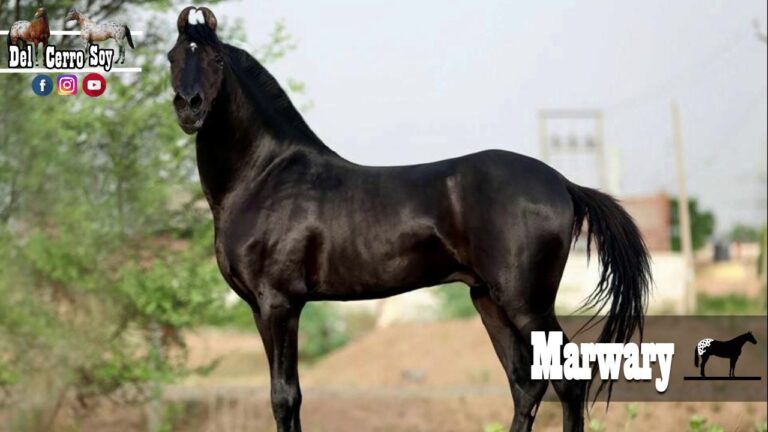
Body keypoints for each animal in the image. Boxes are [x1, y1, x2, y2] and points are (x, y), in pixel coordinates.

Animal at [167, 7, 651, 432]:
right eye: (173, 57)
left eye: (215, 59)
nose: (189, 107)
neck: (266, 176)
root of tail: (562, 183)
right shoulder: (259, 308)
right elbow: (285, 396)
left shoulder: (279, 303)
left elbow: (285, 397)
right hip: (489, 300)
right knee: (524, 385)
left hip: (527, 304)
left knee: (567, 382)